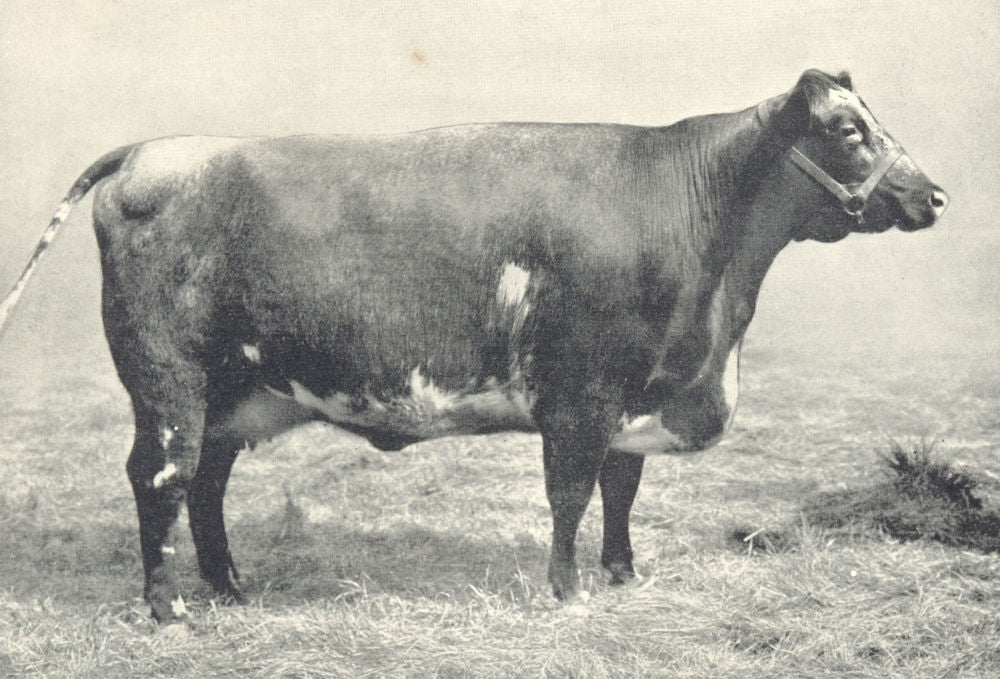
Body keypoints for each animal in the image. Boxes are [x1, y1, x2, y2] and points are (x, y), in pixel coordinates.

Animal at [0, 70, 947, 623]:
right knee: (161, 476)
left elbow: (621, 488)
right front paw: (567, 592)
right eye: (850, 130)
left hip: (235, 390)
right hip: (168, 380)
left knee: (205, 480)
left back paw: (230, 586)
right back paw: (168, 609)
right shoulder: (581, 391)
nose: (932, 193)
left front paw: (623, 574)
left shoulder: (631, 392)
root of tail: (152, 150)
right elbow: (571, 492)